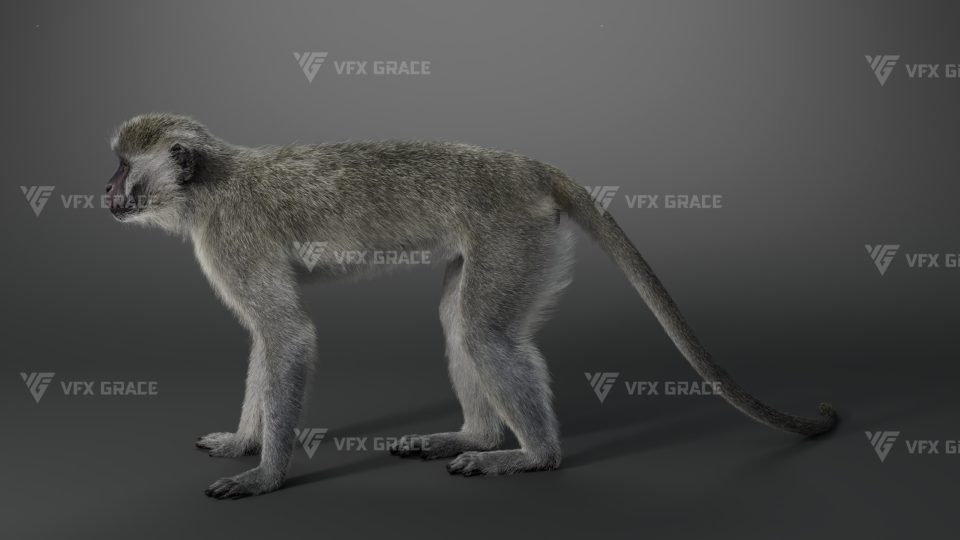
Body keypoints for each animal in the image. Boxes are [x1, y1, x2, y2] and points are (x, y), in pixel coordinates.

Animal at [105, 113, 837, 499]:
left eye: (123, 169)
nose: (105, 192)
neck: (210, 185)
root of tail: (525, 166)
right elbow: (267, 342)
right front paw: (245, 443)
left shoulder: (233, 236)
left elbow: (288, 338)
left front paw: (265, 475)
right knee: (461, 326)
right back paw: (477, 436)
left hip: (517, 233)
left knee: (484, 335)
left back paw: (530, 455)